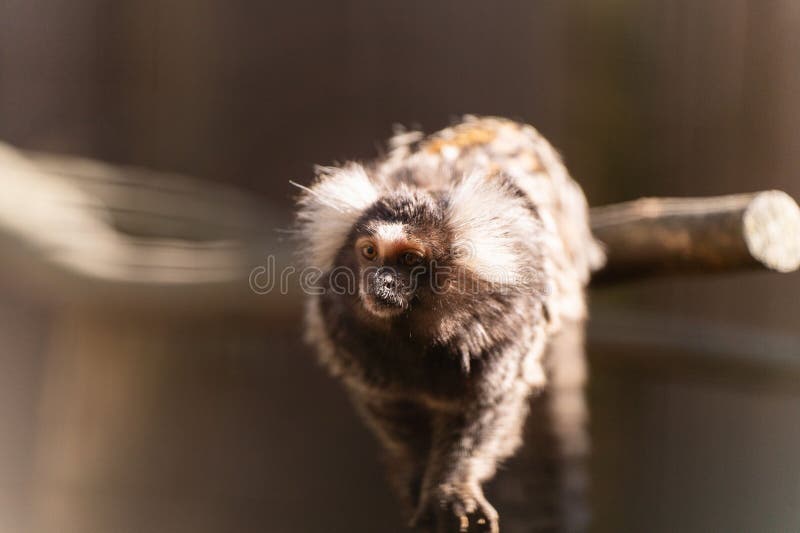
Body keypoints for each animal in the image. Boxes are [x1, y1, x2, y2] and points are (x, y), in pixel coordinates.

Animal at [294, 116, 604, 532]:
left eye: (409, 259)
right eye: (370, 252)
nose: (380, 283)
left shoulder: (503, 333)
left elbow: (482, 410)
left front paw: (451, 488)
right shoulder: (355, 349)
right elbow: (396, 412)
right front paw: (418, 477)